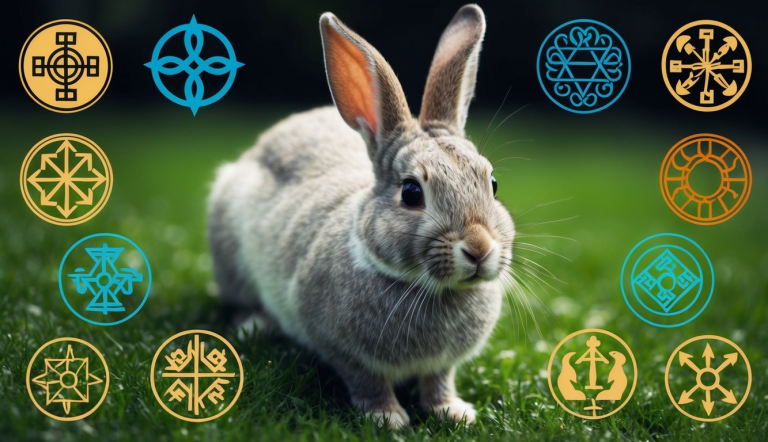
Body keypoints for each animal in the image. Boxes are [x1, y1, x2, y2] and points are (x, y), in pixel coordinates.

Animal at [208, 4, 514, 429]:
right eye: (411, 193)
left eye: (493, 183)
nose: (480, 248)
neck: (429, 288)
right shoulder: (341, 349)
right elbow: (366, 380)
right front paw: (386, 417)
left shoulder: (442, 366)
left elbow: (438, 380)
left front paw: (453, 412)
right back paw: (256, 325)